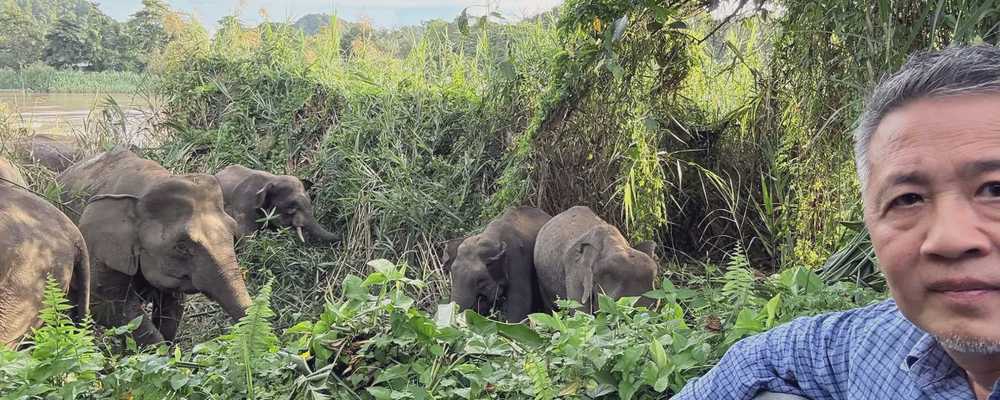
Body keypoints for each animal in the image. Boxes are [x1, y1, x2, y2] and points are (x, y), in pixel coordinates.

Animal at [58, 149, 252, 345]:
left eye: (233, 233)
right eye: (181, 247)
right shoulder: (98, 249)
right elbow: (105, 305)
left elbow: (172, 306)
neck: (149, 183)